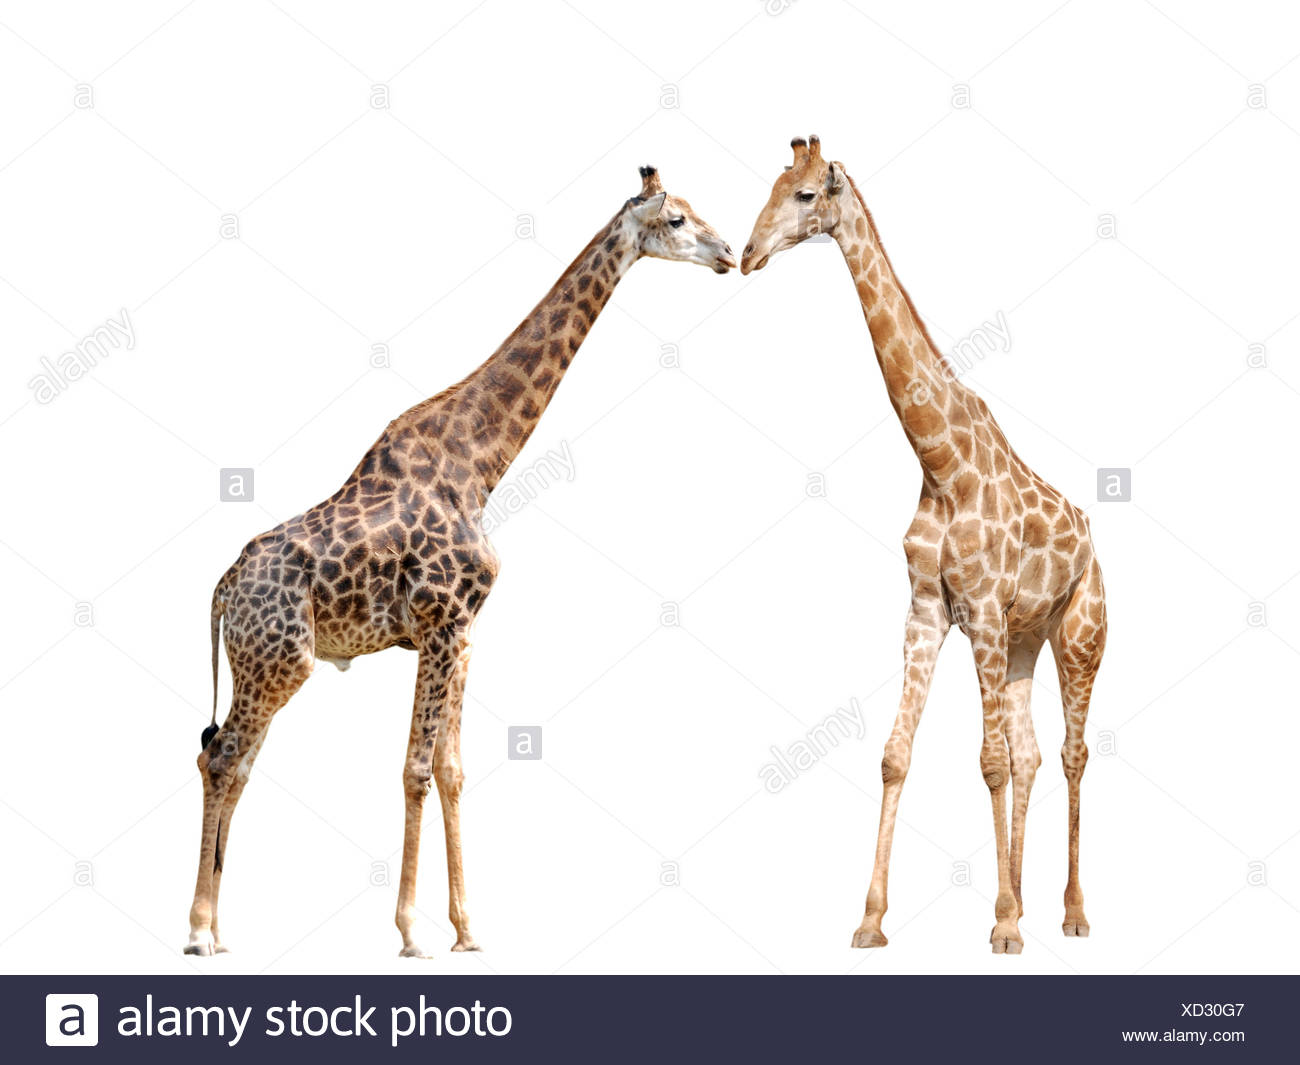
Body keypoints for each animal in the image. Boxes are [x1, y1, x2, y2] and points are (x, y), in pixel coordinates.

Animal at [185, 166, 736, 958]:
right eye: (678, 219)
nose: (729, 252)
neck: (480, 462)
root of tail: (224, 588)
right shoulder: (439, 622)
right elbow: (415, 768)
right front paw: (411, 930)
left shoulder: (464, 632)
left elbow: (451, 769)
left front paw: (468, 929)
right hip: (280, 659)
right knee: (223, 755)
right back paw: (198, 930)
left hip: (266, 662)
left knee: (236, 759)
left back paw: (222, 930)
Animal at [741, 137, 1106, 954]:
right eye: (772, 185)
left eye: (806, 194)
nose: (747, 255)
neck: (939, 460)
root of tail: (1095, 544)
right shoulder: (929, 611)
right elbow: (896, 754)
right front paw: (872, 919)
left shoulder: (982, 610)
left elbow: (988, 760)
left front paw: (1000, 924)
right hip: (1025, 639)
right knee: (1034, 752)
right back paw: (1028, 900)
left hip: (1079, 636)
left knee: (1071, 753)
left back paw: (1070, 913)